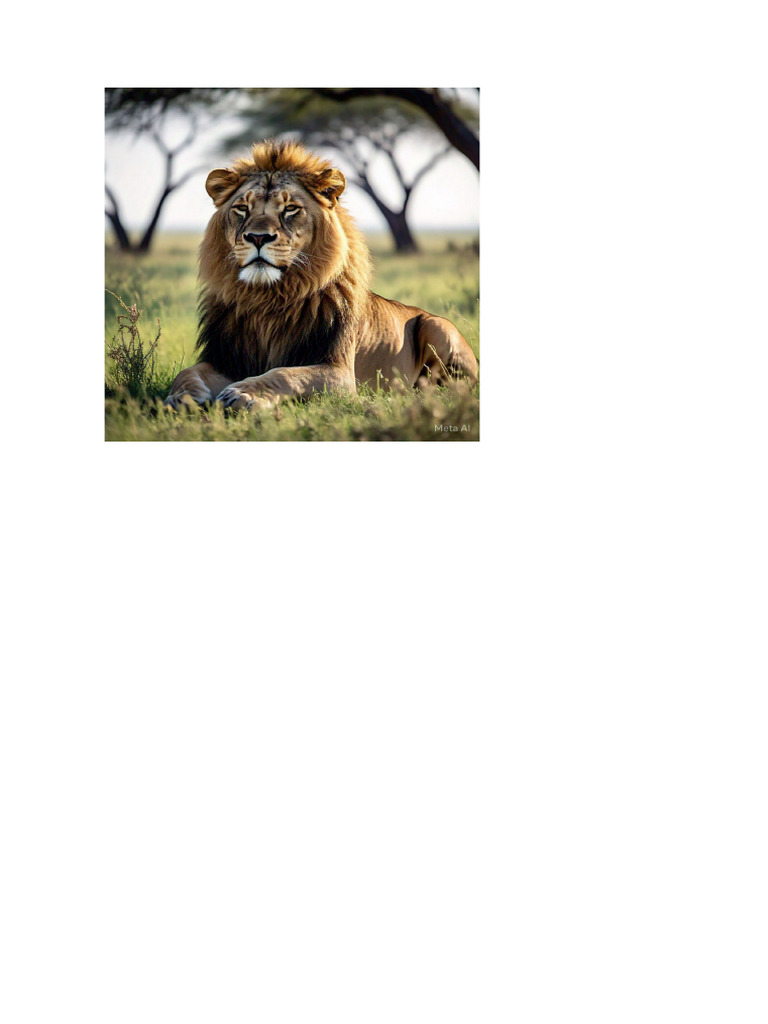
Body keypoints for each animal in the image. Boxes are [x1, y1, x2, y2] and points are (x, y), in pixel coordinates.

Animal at [165, 139, 478, 410]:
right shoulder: (227, 360)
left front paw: (242, 393)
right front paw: (182, 397)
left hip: (438, 327)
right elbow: (186, 373)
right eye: (241, 208)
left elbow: (284, 373)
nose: (257, 237)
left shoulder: (339, 373)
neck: (267, 298)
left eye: (290, 209)